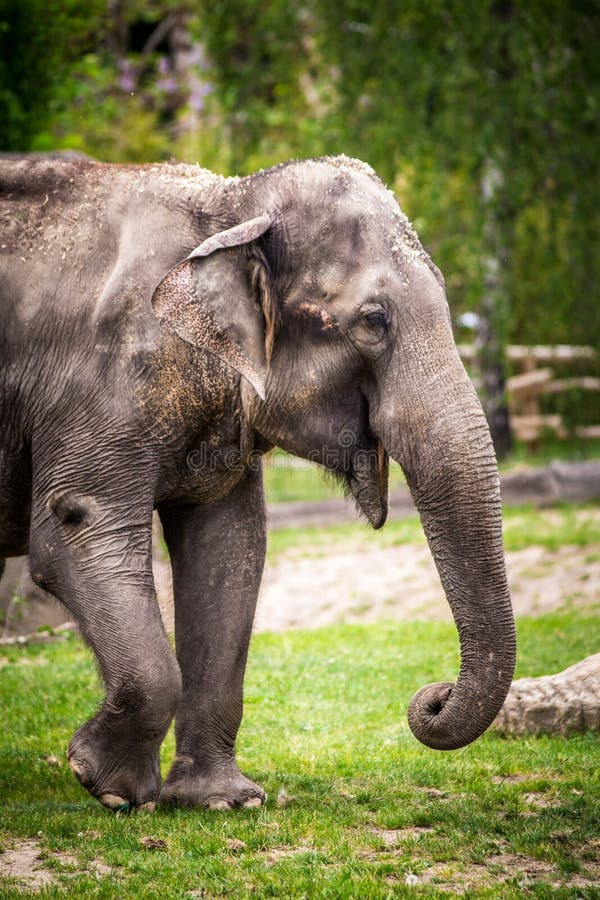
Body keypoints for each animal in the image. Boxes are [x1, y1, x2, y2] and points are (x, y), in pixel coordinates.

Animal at [0, 154, 516, 812]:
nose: (432, 697)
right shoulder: (99, 383)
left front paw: (223, 801)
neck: (230, 204)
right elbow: (77, 523)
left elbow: (229, 548)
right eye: (375, 321)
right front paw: (111, 788)